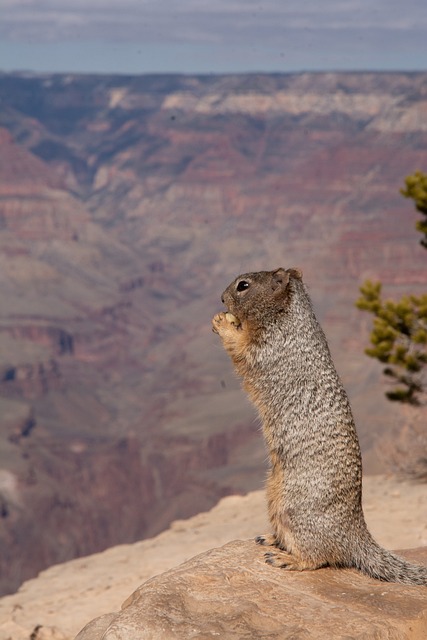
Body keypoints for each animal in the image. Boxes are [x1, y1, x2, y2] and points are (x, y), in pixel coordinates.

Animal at [212, 266, 426, 584]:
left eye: (243, 285)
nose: (221, 297)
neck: (287, 316)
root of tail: (356, 536)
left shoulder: (267, 346)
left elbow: (242, 347)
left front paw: (222, 321)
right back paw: (271, 539)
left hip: (293, 510)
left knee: (319, 557)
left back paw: (285, 558)